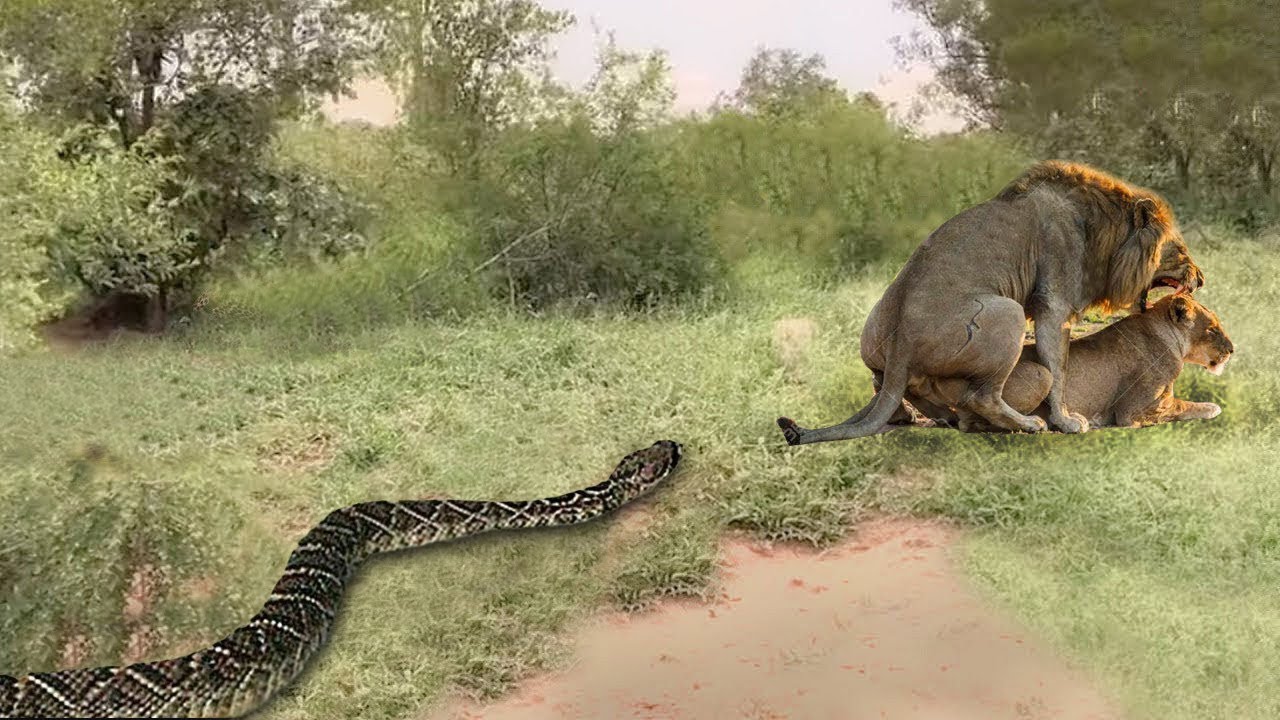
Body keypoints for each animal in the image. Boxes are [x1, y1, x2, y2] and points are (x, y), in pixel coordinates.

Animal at [908, 293, 1232, 431]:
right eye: (1212, 329)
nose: (1232, 349)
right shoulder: (1133, 411)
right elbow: (1183, 406)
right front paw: (1213, 408)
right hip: (1040, 374)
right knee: (972, 420)